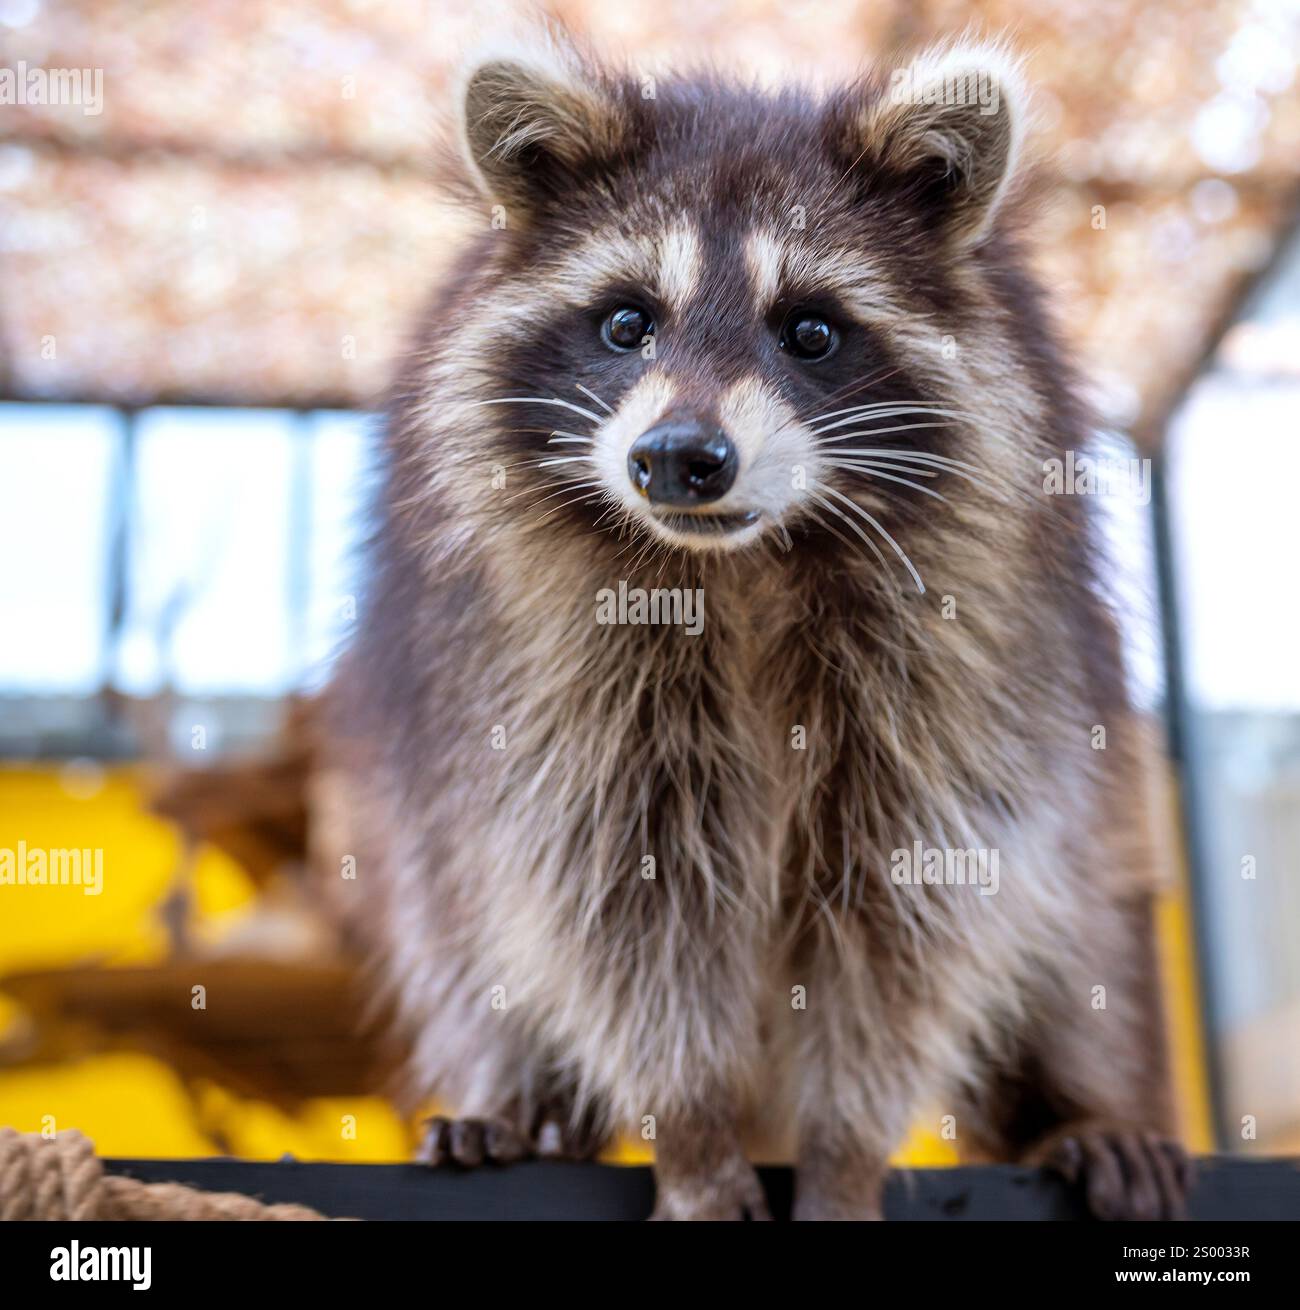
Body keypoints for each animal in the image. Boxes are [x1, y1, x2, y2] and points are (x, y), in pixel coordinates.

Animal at [332, 31, 1190, 1220]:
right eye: (626, 322)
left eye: (811, 330)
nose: (677, 459)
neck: (741, 563)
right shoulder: (553, 672)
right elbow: (617, 897)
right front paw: (690, 1132)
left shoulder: (954, 663)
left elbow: (901, 916)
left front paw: (842, 1154)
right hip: (435, 812)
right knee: (460, 925)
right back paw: (520, 1097)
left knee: (1085, 939)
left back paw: (1080, 1104)